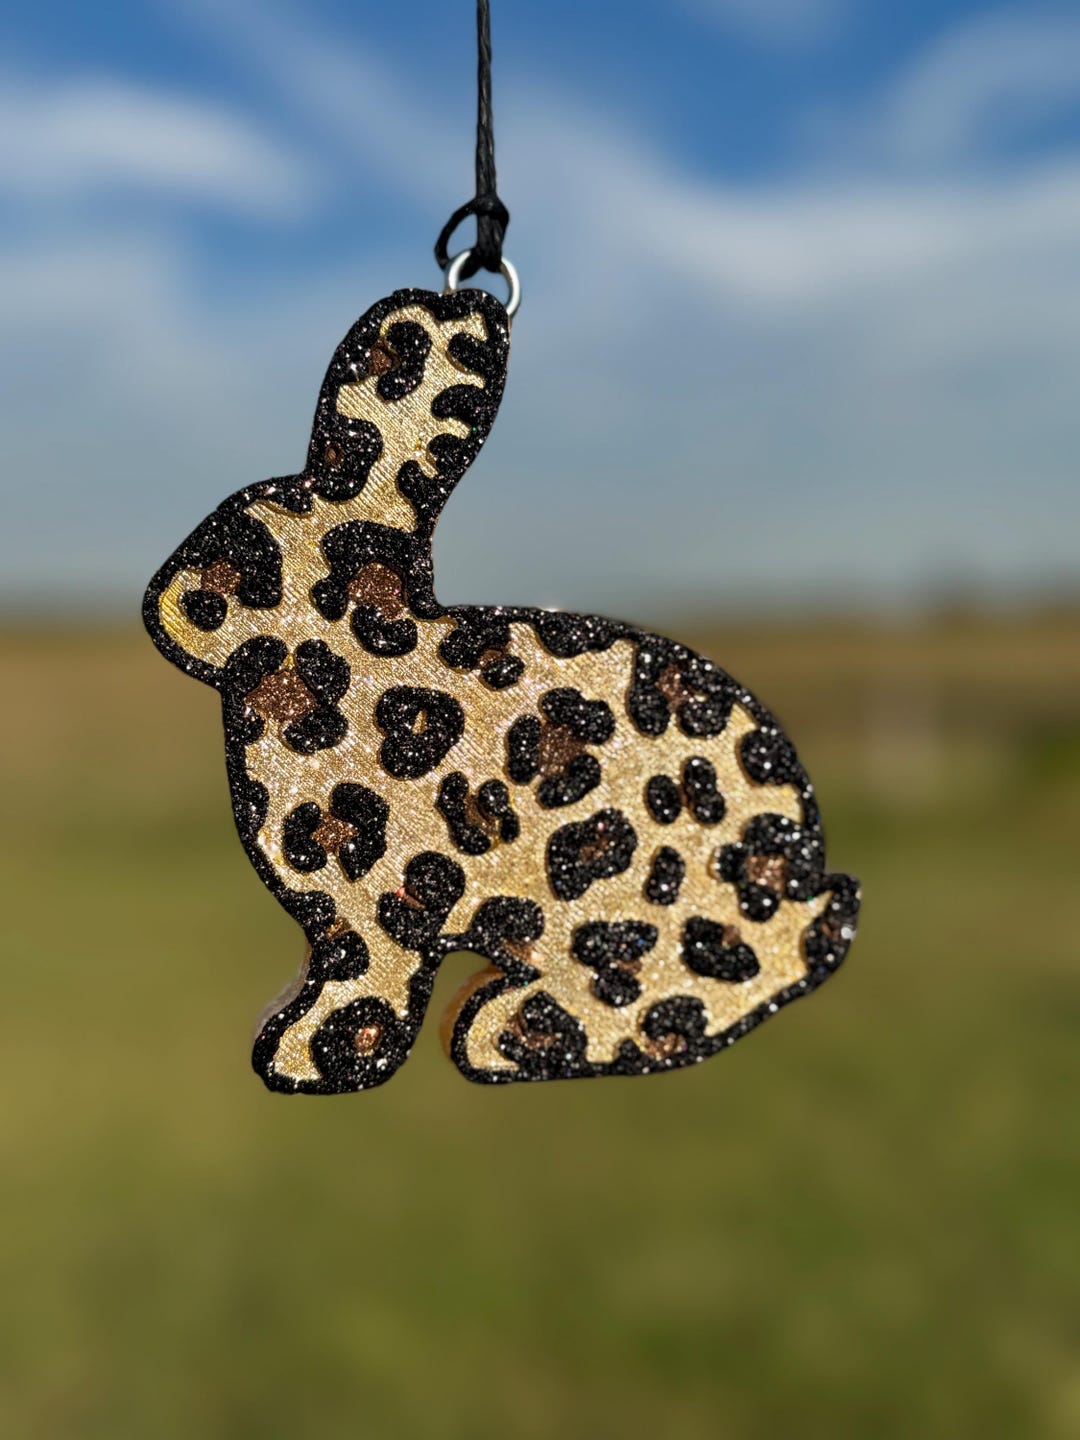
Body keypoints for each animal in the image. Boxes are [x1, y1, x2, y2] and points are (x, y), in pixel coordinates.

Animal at [143, 285, 860, 1092]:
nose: (162, 603)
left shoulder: (385, 915)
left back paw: (506, 1032)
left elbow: (368, 987)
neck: (338, 646)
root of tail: (809, 886)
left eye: (236, 547)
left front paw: (311, 1053)